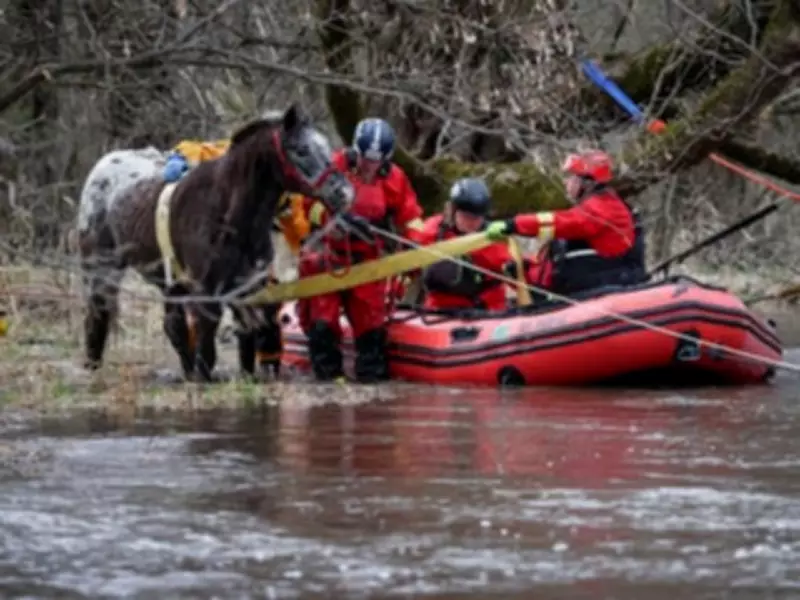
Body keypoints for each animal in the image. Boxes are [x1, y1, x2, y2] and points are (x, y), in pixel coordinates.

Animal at [77, 103, 353, 381]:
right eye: (301, 150)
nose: (344, 192)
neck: (226, 213)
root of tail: (102, 167)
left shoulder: (249, 285)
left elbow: (249, 332)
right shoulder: (206, 289)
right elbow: (208, 338)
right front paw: (204, 378)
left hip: (170, 284)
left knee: (174, 326)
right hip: (102, 268)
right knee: (97, 315)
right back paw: (93, 368)